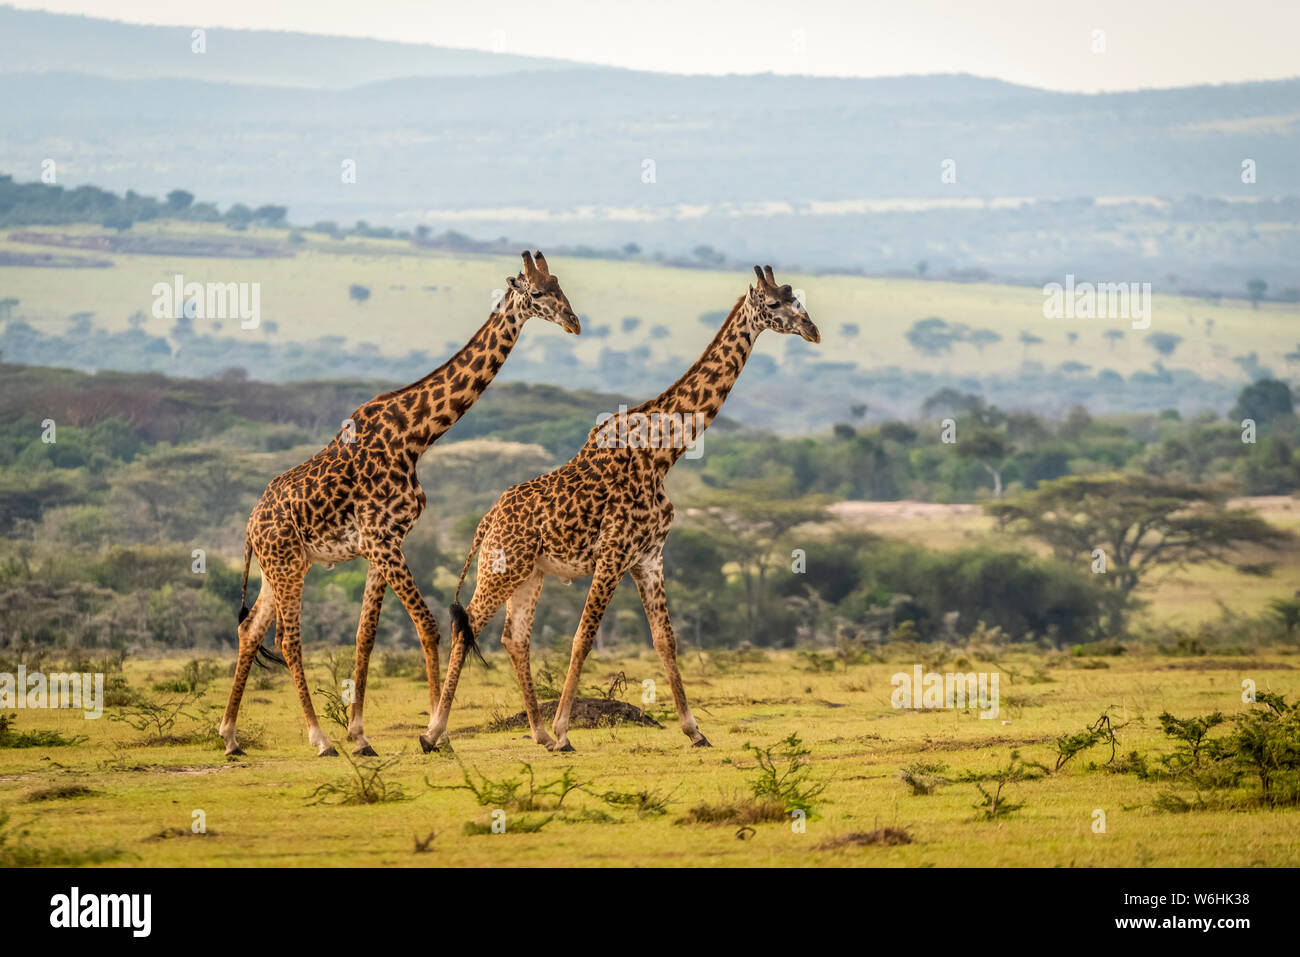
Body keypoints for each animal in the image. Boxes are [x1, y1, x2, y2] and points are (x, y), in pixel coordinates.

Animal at [218, 251, 581, 757]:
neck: (417, 435)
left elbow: (366, 635)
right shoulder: (382, 539)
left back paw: (230, 736)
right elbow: (427, 625)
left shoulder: (383, 544)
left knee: (250, 628)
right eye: (537, 292)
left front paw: (361, 736)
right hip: (287, 565)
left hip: (283, 567)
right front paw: (435, 731)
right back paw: (319, 739)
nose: (574, 323)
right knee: (287, 638)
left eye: (561, 286)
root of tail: (250, 528)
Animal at [426, 266, 819, 752]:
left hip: (529, 574)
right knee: (468, 628)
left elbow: (665, 640)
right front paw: (565, 732)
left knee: (513, 638)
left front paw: (695, 731)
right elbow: (583, 637)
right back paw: (436, 733)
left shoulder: (648, 558)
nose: (813, 330)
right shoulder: (613, 555)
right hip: (501, 567)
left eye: (796, 298)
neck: (663, 452)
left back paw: (536, 732)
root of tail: (485, 521)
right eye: (776, 304)